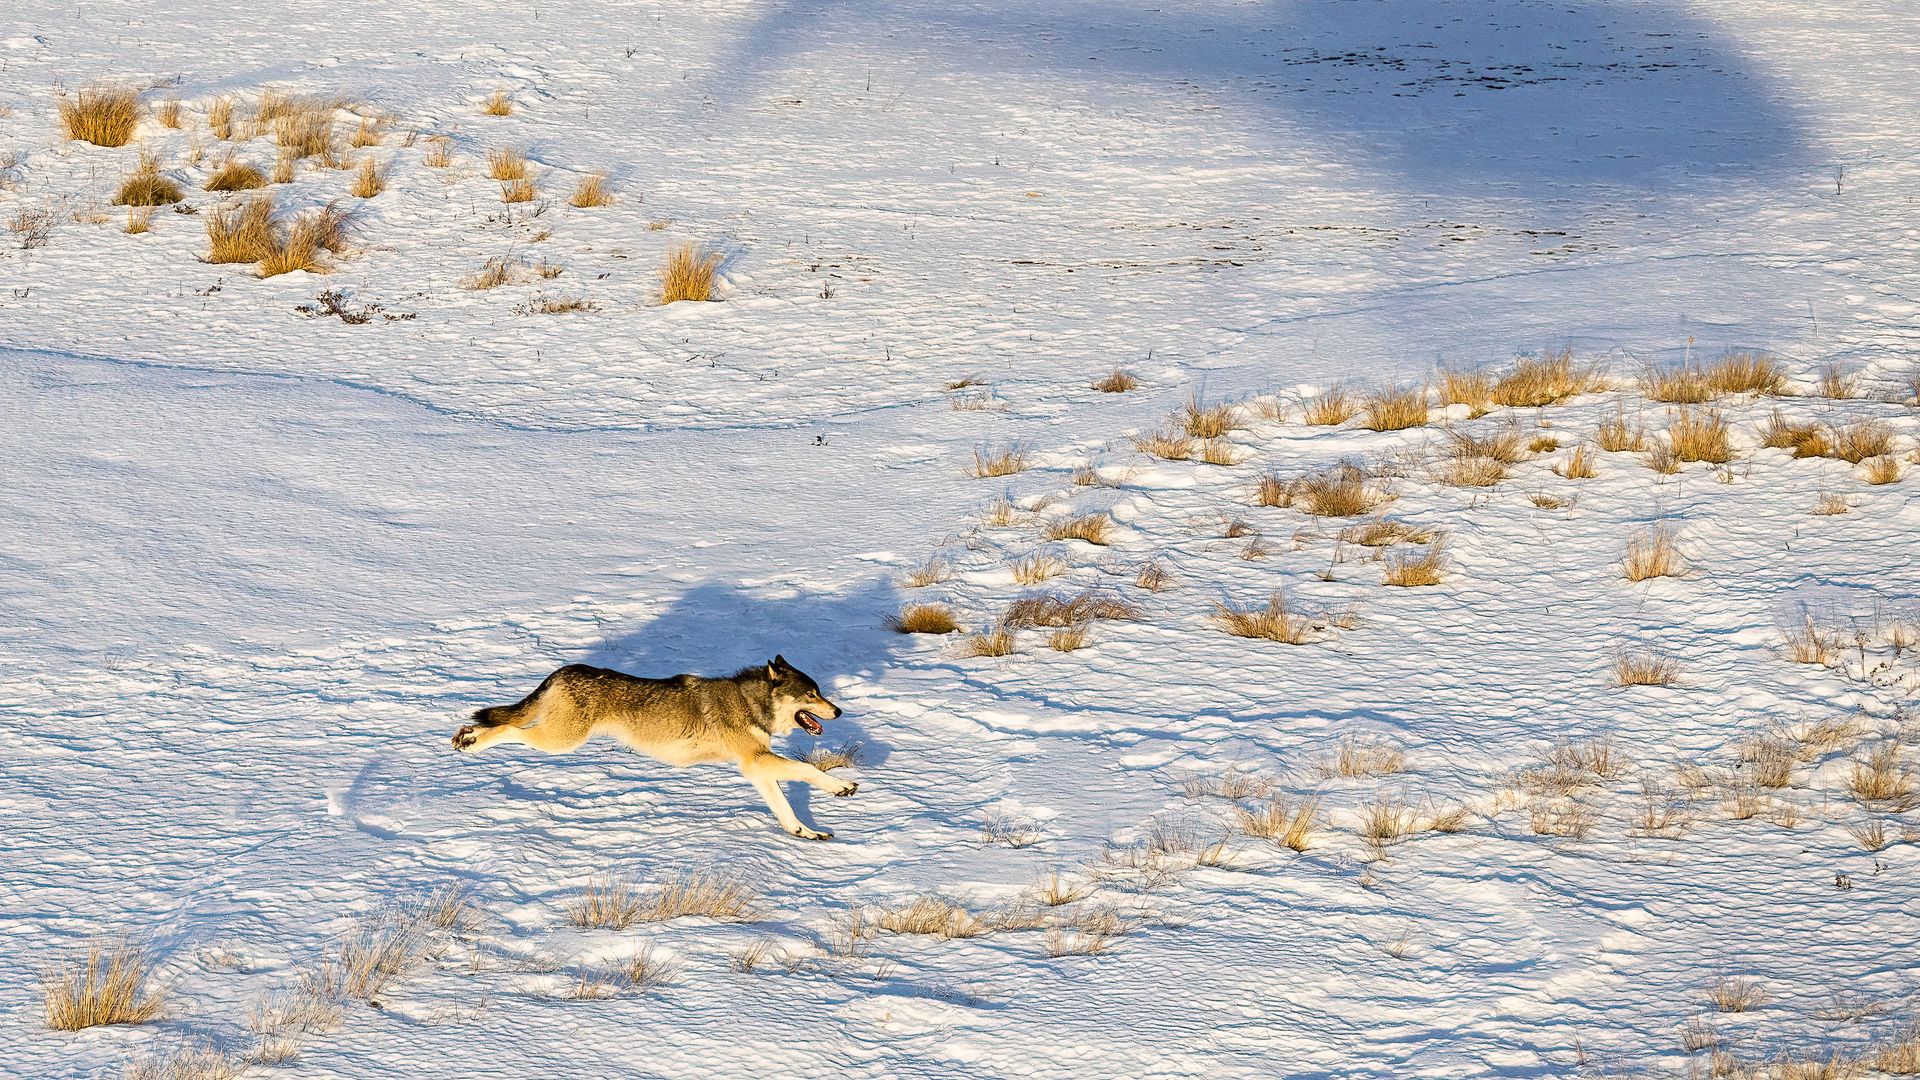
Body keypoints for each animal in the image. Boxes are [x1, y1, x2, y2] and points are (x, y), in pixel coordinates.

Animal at [452, 655, 857, 840]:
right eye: (812, 695)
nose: (838, 711)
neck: (750, 703)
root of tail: (564, 670)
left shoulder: (755, 768)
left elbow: (785, 809)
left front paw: (806, 833)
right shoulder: (756, 760)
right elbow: (807, 769)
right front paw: (842, 787)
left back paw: (465, 735)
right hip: (560, 741)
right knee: (507, 728)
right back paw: (469, 741)